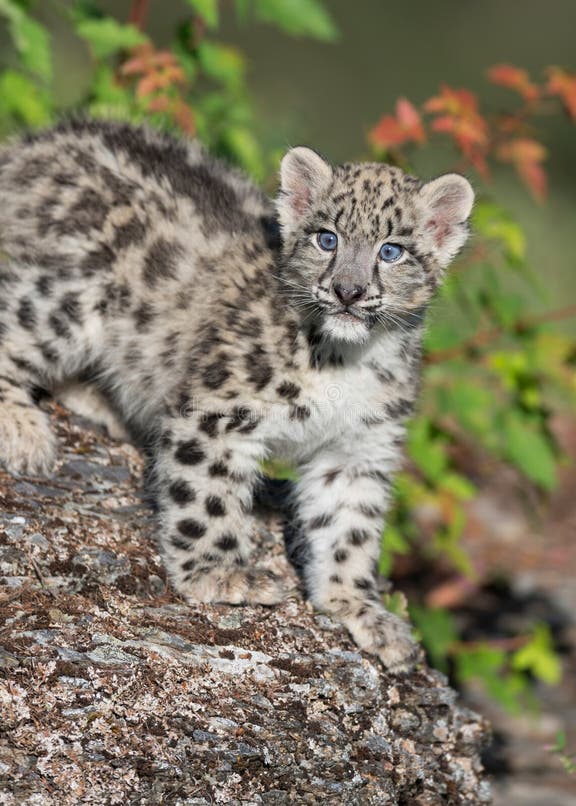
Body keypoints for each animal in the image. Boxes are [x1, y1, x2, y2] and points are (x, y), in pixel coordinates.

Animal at [0, 119, 474, 672]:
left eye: (391, 250)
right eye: (327, 238)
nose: (348, 291)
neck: (347, 362)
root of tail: (41, 142)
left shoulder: (359, 450)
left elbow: (348, 530)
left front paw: (360, 609)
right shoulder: (216, 413)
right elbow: (207, 499)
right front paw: (221, 575)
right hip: (72, 301)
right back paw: (24, 432)